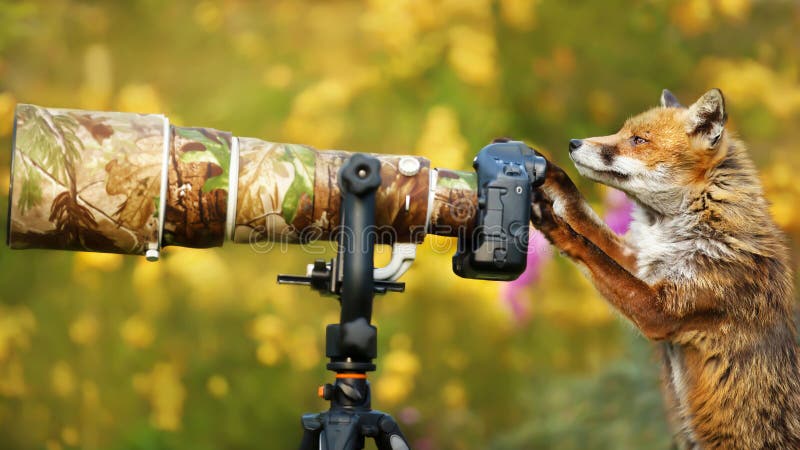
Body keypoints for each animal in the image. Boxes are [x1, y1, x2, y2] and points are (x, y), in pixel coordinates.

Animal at [528, 88, 800, 449]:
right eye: (622, 131)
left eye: (638, 140)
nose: (573, 143)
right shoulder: (643, 265)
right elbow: (589, 224)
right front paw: (556, 181)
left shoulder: (661, 311)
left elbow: (590, 251)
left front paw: (558, 229)